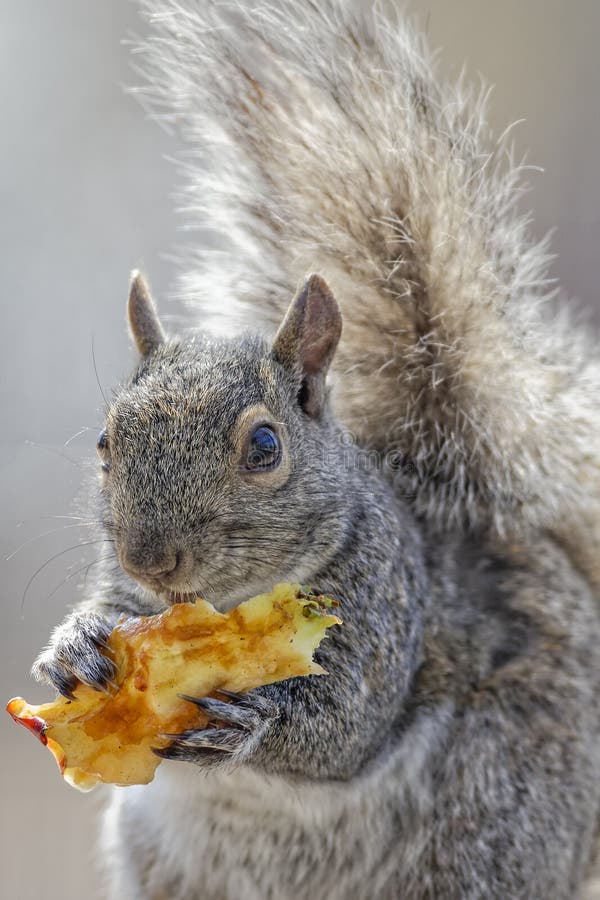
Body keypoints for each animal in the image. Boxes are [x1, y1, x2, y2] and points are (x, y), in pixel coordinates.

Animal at [30, 1, 600, 898]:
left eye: (265, 445)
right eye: (104, 440)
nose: (153, 560)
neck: (230, 603)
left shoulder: (391, 610)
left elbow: (346, 725)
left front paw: (255, 723)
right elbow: (102, 615)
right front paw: (76, 644)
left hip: (491, 827)